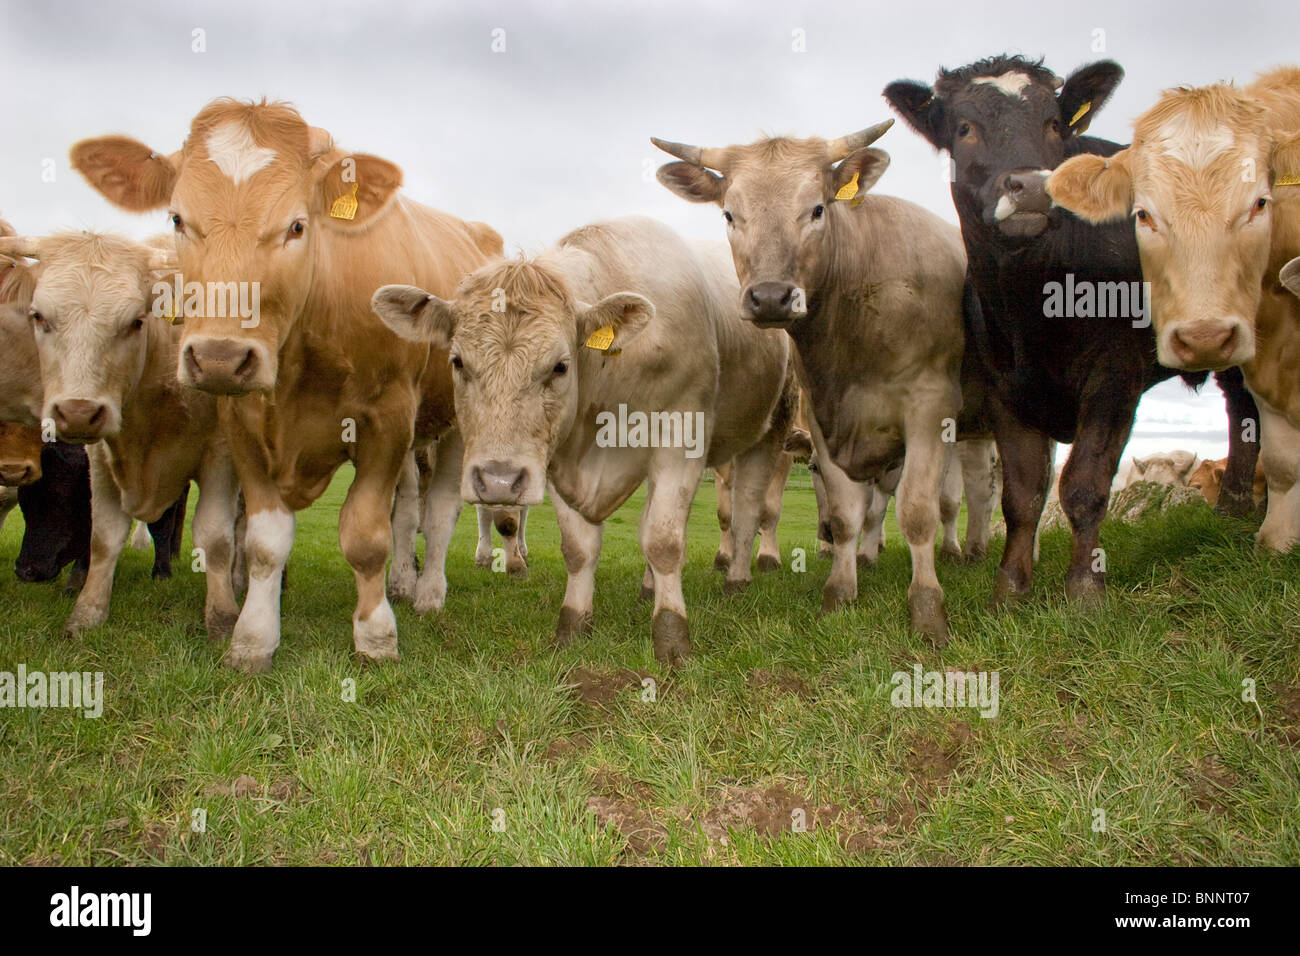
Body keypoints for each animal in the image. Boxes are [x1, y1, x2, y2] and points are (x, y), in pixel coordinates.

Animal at [0, 231, 238, 636]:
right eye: (39, 316)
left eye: (136, 321)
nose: (77, 413)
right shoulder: (100, 459)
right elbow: (103, 536)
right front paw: (86, 613)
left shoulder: (219, 454)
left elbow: (215, 538)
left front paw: (222, 618)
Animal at [71, 99, 504, 671]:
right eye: (178, 219)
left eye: (297, 226)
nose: (219, 358)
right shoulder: (242, 426)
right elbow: (263, 542)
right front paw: (252, 639)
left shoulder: (387, 418)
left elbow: (366, 536)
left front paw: (375, 635)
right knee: (409, 507)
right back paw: (403, 583)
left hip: (452, 419)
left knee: (437, 515)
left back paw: (428, 593)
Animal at [372, 216, 793, 664]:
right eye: (457, 362)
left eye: (560, 366)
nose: (499, 480)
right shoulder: (555, 456)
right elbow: (579, 548)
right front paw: (573, 625)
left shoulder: (682, 434)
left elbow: (664, 540)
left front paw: (671, 637)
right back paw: (648, 588)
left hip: (770, 430)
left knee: (747, 509)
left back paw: (737, 580)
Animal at [652, 122, 982, 643]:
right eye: (729, 213)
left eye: (818, 208)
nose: (770, 297)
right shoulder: (825, 420)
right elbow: (845, 516)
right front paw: (839, 593)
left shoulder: (931, 408)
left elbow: (917, 510)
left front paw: (928, 610)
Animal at [883, 55, 1261, 606]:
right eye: (964, 127)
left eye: (1055, 124)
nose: (1031, 186)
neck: (1035, 305)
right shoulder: (1006, 387)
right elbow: (1022, 493)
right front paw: (1011, 587)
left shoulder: (1115, 377)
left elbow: (1085, 484)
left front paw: (1084, 587)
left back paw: (1235, 507)